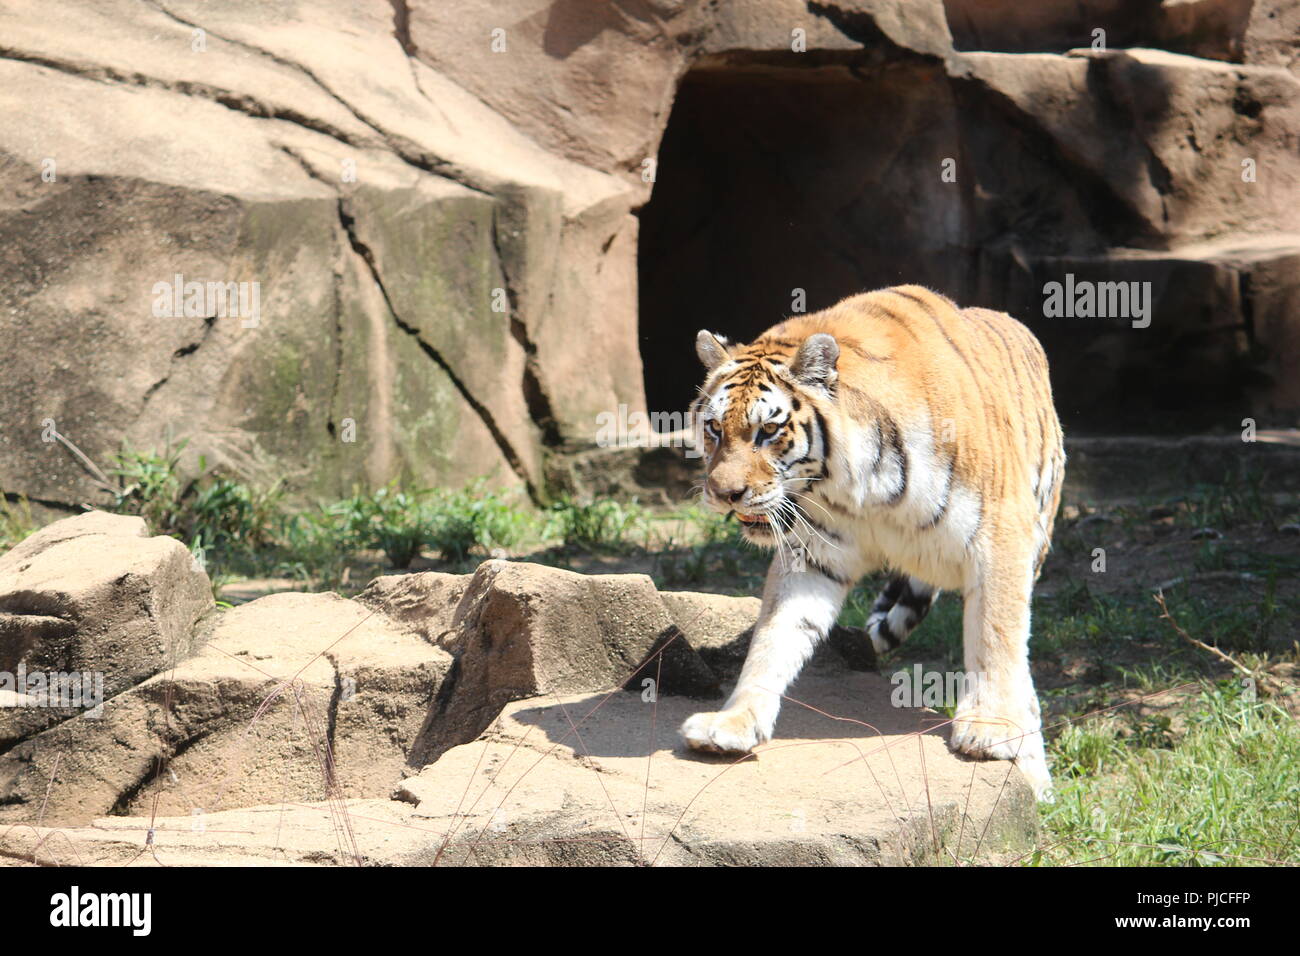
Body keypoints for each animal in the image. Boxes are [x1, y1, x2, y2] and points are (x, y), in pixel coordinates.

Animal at [678, 284, 1064, 799]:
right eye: (715, 428)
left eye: (769, 430)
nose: (724, 493)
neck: (856, 487)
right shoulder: (813, 554)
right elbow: (774, 637)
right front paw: (734, 722)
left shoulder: (1002, 535)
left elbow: (995, 637)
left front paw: (989, 728)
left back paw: (1035, 780)